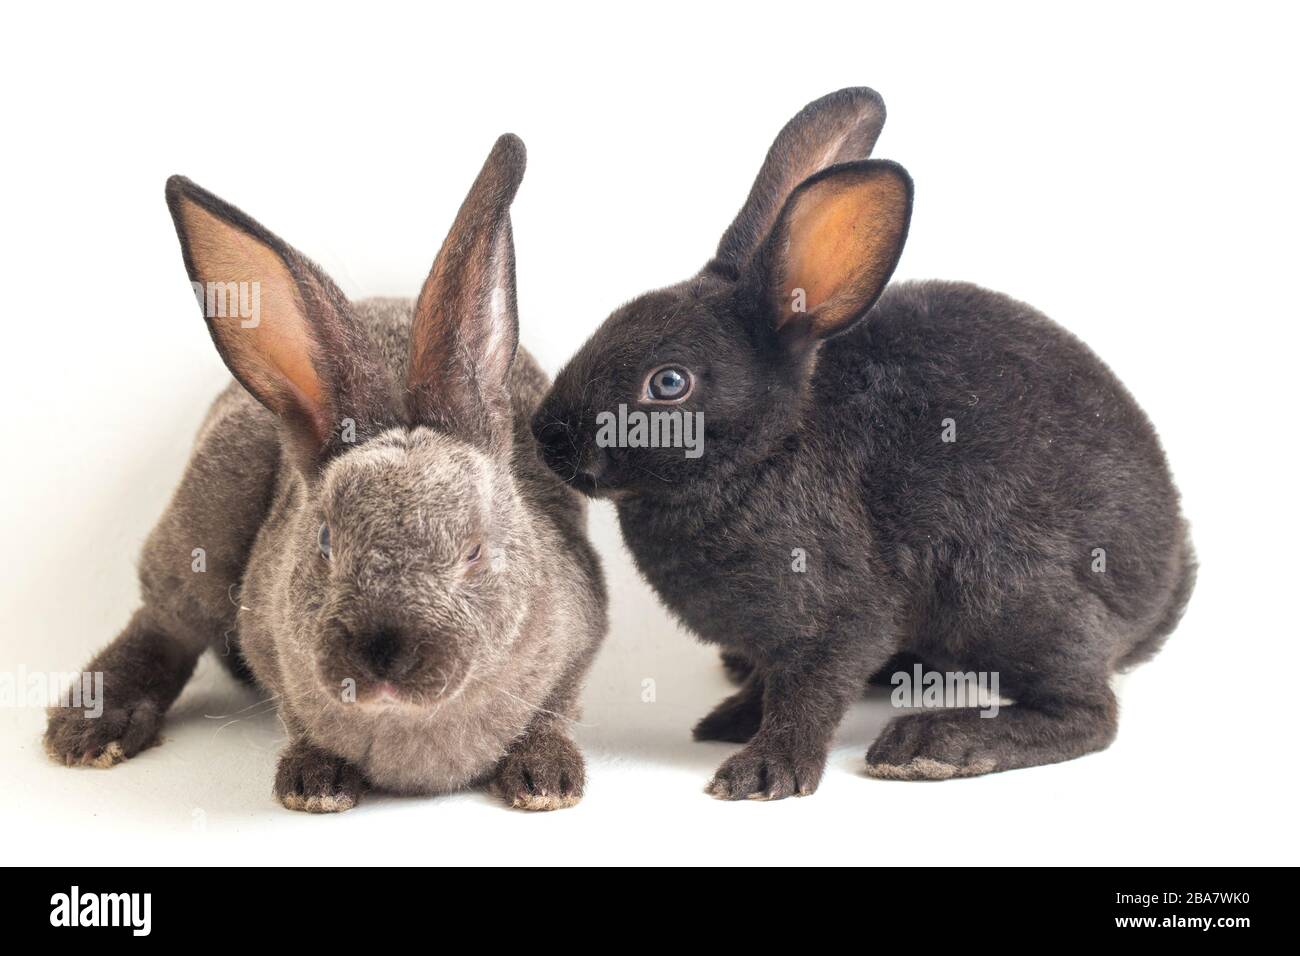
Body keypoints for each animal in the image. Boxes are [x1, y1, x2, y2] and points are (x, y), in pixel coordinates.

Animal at [43, 135, 608, 812]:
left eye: (474, 552)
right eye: (325, 544)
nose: (384, 656)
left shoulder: (581, 636)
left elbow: (555, 708)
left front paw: (545, 779)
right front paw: (316, 783)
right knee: (165, 620)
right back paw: (89, 730)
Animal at [532, 88, 1195, 800]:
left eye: (669, 382)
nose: (547, 438)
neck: (765, 453)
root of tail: (1164, 587)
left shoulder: (838, 621)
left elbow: (810, 695)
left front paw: (761, 773)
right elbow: (773, 684)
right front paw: (730, 720)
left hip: (1008, 593)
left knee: (1088, 712)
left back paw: (933, 745)